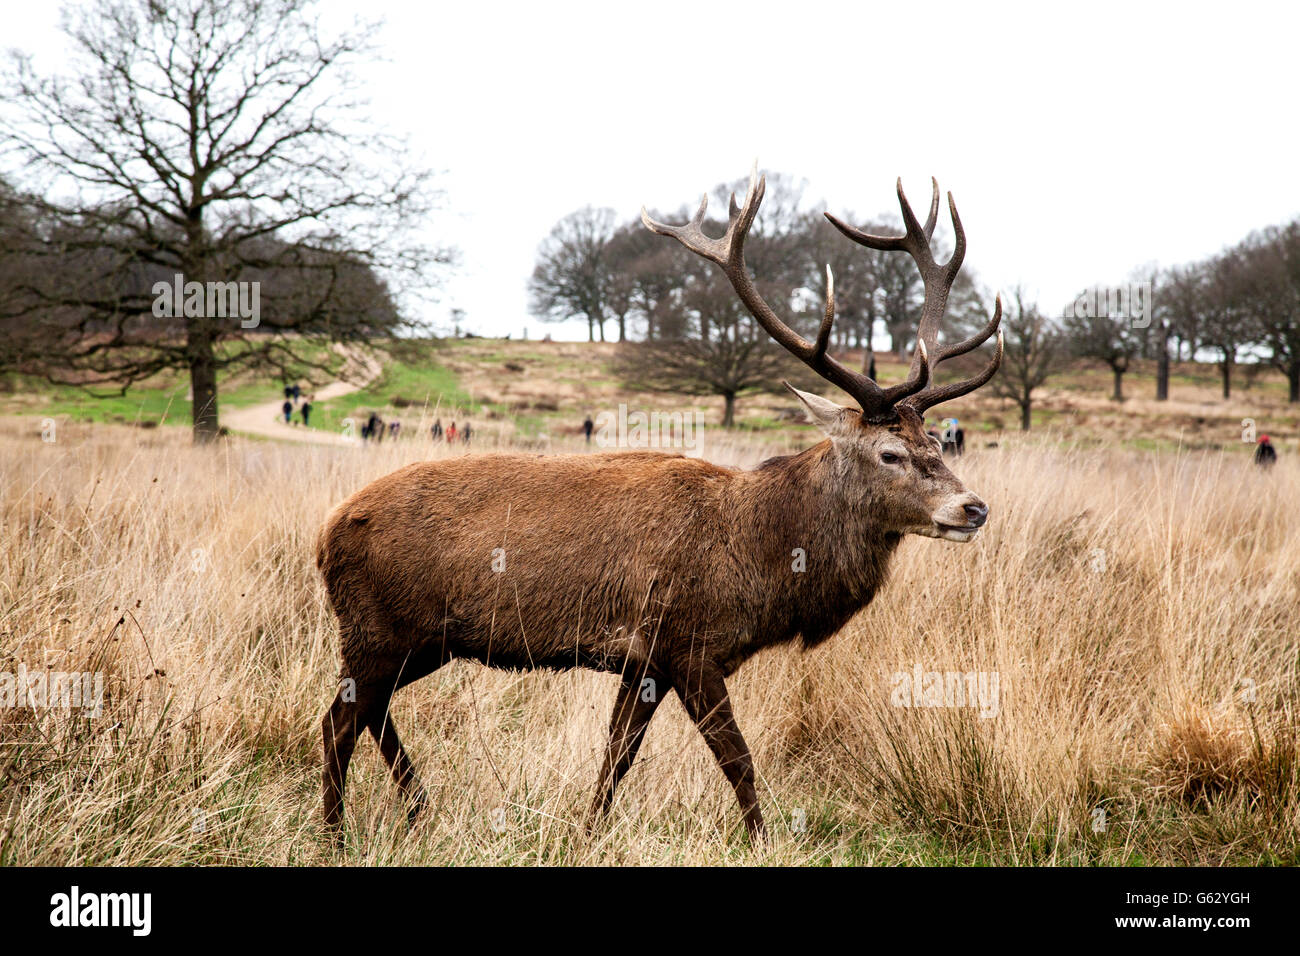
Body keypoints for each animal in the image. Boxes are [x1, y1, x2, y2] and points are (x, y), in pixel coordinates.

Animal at [316, 165, 1003, 844]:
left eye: (936, 441)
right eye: (890, 453)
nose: (973, 508)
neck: (763, 553)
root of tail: (325, 535)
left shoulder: (644, 658)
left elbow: (618, 753)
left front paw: (588, 832)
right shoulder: (688, 642)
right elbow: (736, 758)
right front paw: (761, 841)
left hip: (417, 640)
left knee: (370, 714)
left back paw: (416, 808)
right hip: (377, 628)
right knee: (339, 722)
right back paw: (336, 832)